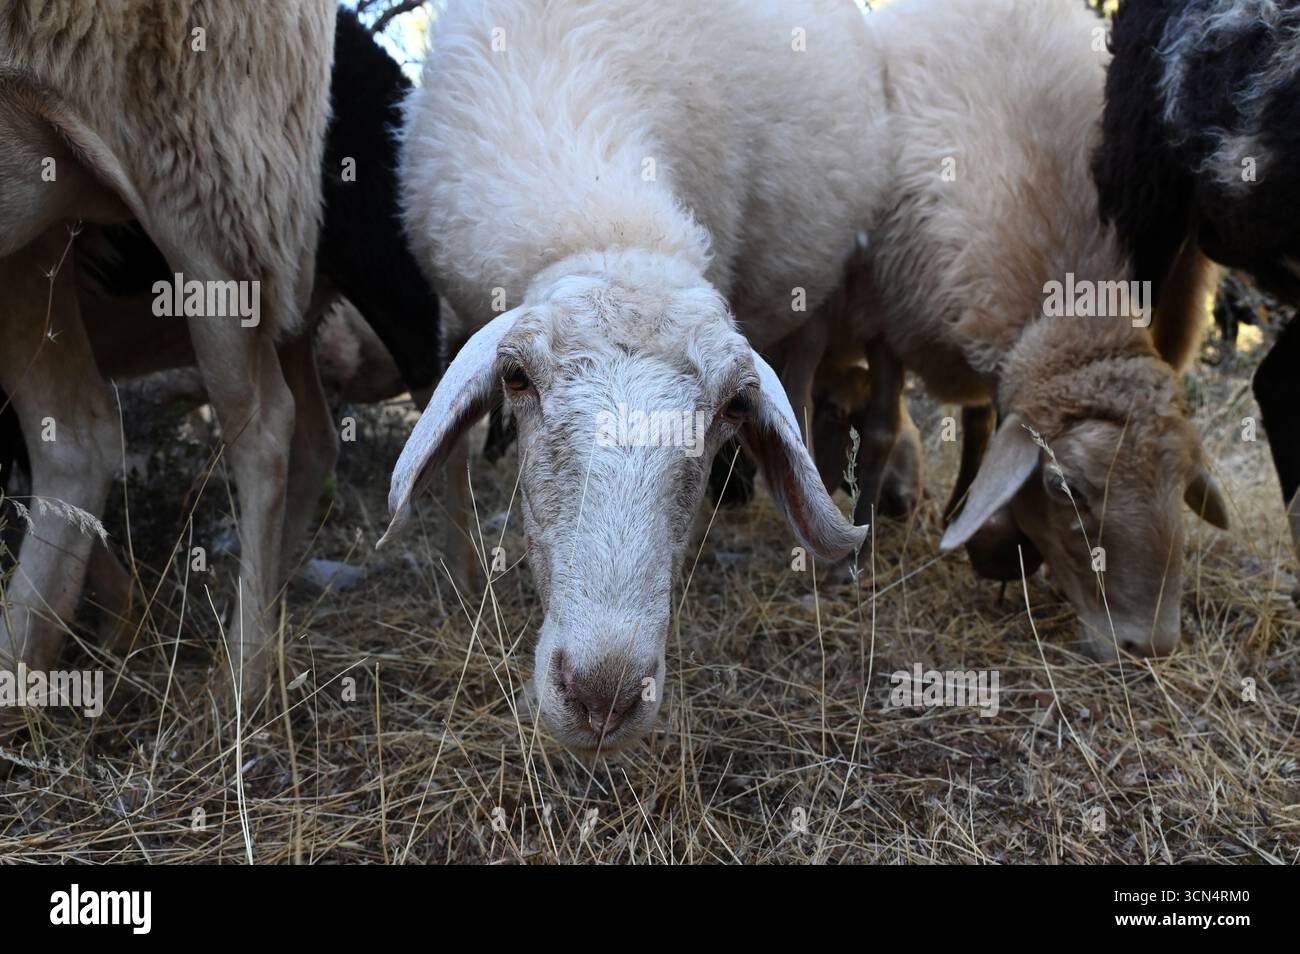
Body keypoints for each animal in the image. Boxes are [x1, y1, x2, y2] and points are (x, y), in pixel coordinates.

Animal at [387, 0, 879, 753]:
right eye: (515, 376)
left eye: (736, 405)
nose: (603, 695)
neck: (608, 219)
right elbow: (457, 455)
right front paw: (463, 577)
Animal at [839, 0, 1229, 658]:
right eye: (1062, 487)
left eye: (1180, 484)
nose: (1148, 644)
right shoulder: (885, 319)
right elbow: (881, 433)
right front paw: (859, 554)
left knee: (977, 422)